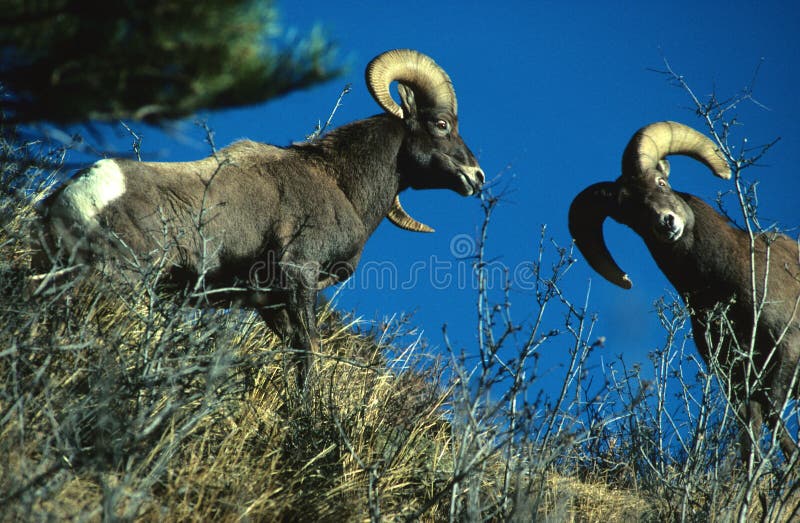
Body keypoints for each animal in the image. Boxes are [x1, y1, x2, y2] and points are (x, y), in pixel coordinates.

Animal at [36, 49, 485, 388]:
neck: (340, 182)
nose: (477, 177)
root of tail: (76, 193)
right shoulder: (298, 275)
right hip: (122, 278)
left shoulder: (268, 300)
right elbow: (310, 349)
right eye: (441, 124)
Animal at [568, 121, 800, 462]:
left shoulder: (787, 349)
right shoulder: (736, 380)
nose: (666, 222)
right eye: (629, 215)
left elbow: (772, 416)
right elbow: (753, 431)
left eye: (661, 182)